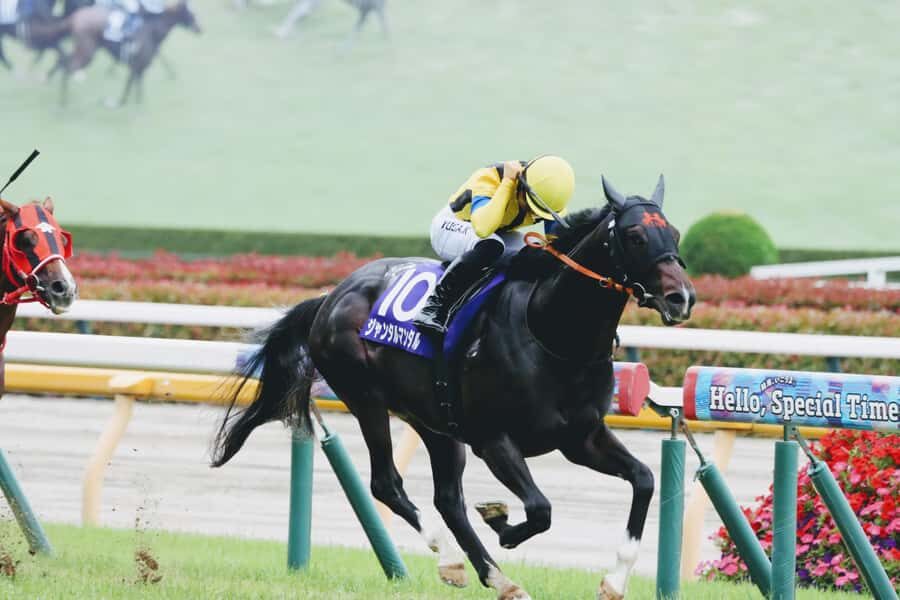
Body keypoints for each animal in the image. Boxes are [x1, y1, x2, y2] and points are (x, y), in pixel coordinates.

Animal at [60, 0, 199, 107]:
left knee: (64, 61)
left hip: (82, 49)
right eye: (191, 13)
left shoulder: (137, 67)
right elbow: (131, 89)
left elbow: (131, 88)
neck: (152, 29)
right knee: (68, 66)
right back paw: (64, 102)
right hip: (87, 51)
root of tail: (76, 16)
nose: (200, 29)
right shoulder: (137, 65)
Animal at [212, 176, 695, 600]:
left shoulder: (581, 437)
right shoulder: (494, 439)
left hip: (435, 423)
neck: (551, 333)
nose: (682, 298)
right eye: (634, 235)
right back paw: (451, 560)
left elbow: (644, 480)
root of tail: (332, 295)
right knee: (387, 484)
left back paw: (499, 580)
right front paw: (502, 523)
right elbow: (540, 509)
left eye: (672, 232)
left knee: (447, 499)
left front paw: (613, 582)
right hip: (367, 399)